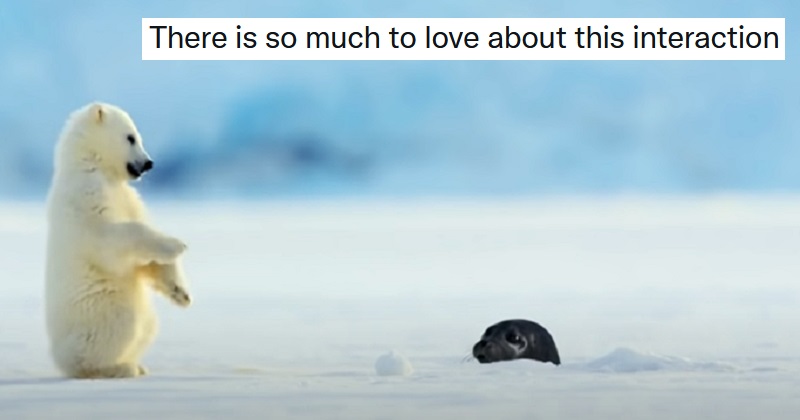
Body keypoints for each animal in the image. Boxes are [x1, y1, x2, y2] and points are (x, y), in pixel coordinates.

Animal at [44, 101, 191, 379]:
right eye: (130, 137)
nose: (149, 163)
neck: (93, 166)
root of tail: (58, 358)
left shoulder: (127, 197)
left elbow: (144, 257)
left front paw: (180, 292)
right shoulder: (86, 195)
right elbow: (111, 239)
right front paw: (177, 245)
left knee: (148, 324)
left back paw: (138, 364)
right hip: (100, 308)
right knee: (121, 324)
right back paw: (119, 367)